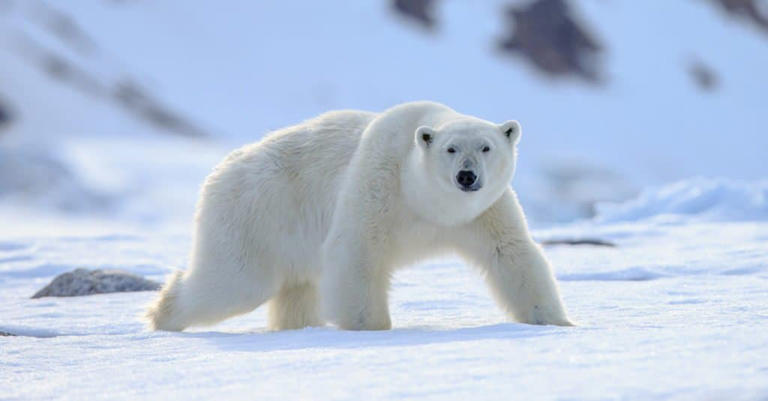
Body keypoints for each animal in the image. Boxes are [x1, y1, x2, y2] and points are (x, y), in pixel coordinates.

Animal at [146, 101, 573, 331]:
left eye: (486, 147)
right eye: (450, 149)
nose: (467, 177)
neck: (428, 202)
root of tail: (221, 169)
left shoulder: (484, 212)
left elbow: (511, 253)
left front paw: (557, 322)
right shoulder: (379, 180)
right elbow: (357, 250)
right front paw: (371, 328)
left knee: (296, 289)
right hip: (255, 214)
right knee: (235, 280)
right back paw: (162, 314)